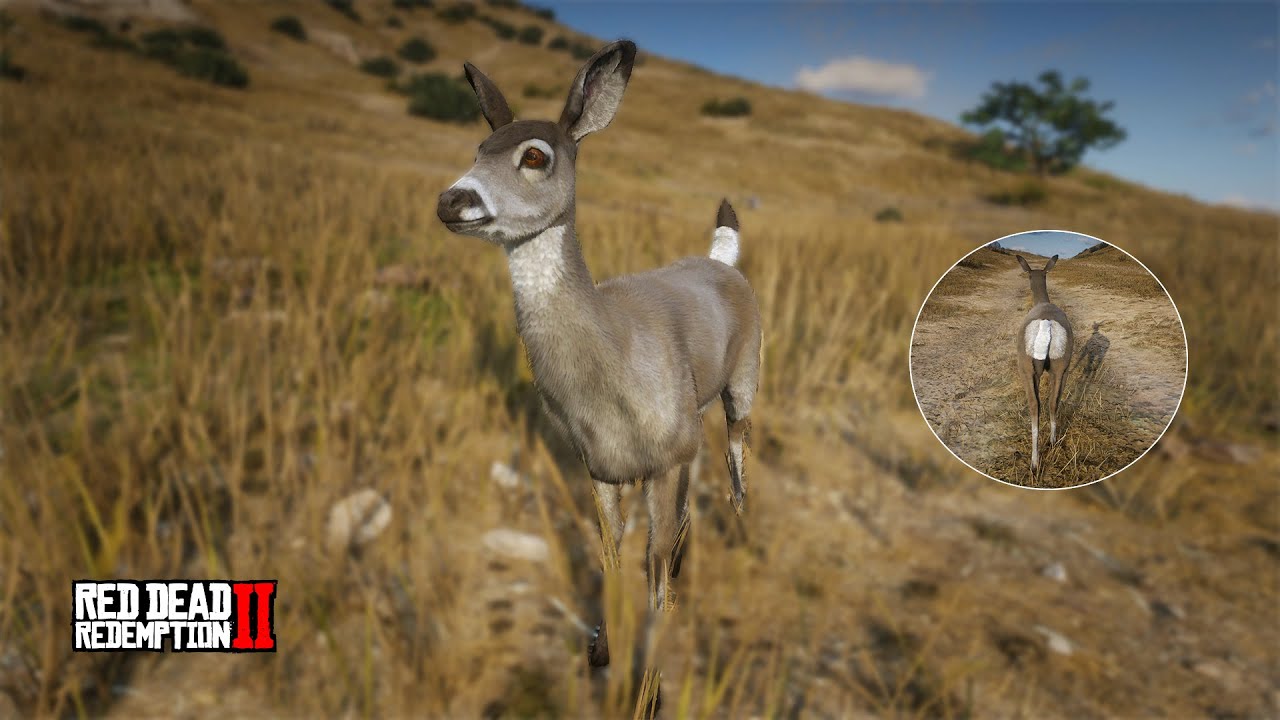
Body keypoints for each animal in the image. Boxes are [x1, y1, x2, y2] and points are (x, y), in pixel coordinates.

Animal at [435, 40, 762, 671]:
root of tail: (723, 261)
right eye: (478, 149)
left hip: (744, 377)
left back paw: (739, 521)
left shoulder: (663, 458)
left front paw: (652, 667)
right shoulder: (600, 466)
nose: (451, 200)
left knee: (736, 442)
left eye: (534, 156)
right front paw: (601, 652)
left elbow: (651, 568)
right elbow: (611, 556)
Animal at [1015, 254, 1072, 475]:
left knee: (1035, 406)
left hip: (1028, 371)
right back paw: (1053, 442)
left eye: (1029, 275)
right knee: (1053, 402)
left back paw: (1034, 463)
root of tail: (1046, 322)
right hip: (1061, 369)